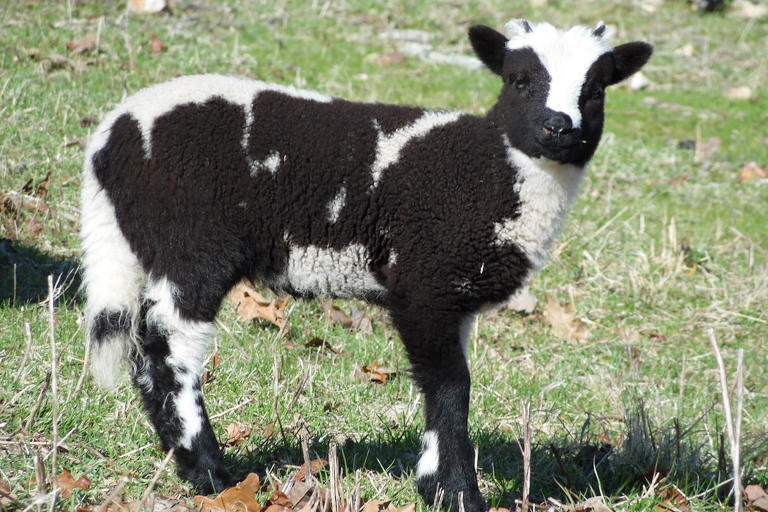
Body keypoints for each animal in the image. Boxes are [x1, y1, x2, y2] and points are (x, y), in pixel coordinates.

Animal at [80, 19, 652, 512]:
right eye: (520, 79)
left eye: (596, 90)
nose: (559, 128)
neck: (492, 171)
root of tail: (109, 138)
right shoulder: (423, 282)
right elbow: (451, 385)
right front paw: (460, 494)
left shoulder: (455, 297)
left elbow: (441, 384)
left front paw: (434, 483)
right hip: (194, 243)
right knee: (169, 347)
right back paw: (211, 475)